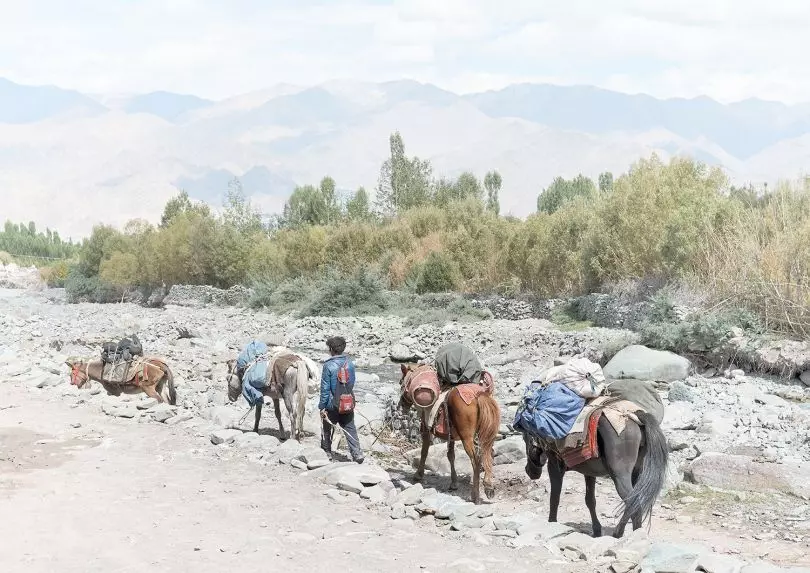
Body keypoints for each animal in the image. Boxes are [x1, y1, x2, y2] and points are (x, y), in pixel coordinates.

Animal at [398, 364, 498, 502]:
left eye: (401, 382)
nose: (402, 404)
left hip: (467, 437)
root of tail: (479, 395)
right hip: (486, 436)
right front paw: (454, 482)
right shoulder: (451, 436)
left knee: (476, 460)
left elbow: (424, 451)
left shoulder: (426, 429)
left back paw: (475, 495)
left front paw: (418, 475)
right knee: (489, 454)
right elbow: (451, 455)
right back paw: (488, 487)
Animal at [520, 412, 664, 536]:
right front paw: (596, 531)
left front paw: (552, 523)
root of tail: (636, 418)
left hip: (620, 476)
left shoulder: (555, 466)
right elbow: (590, 500)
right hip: (636, 473)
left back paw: (621, 533)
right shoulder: (589, 472)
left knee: (633, 501)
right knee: (637, 500)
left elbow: (554, 498)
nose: (529, 471)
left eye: (525, 438)